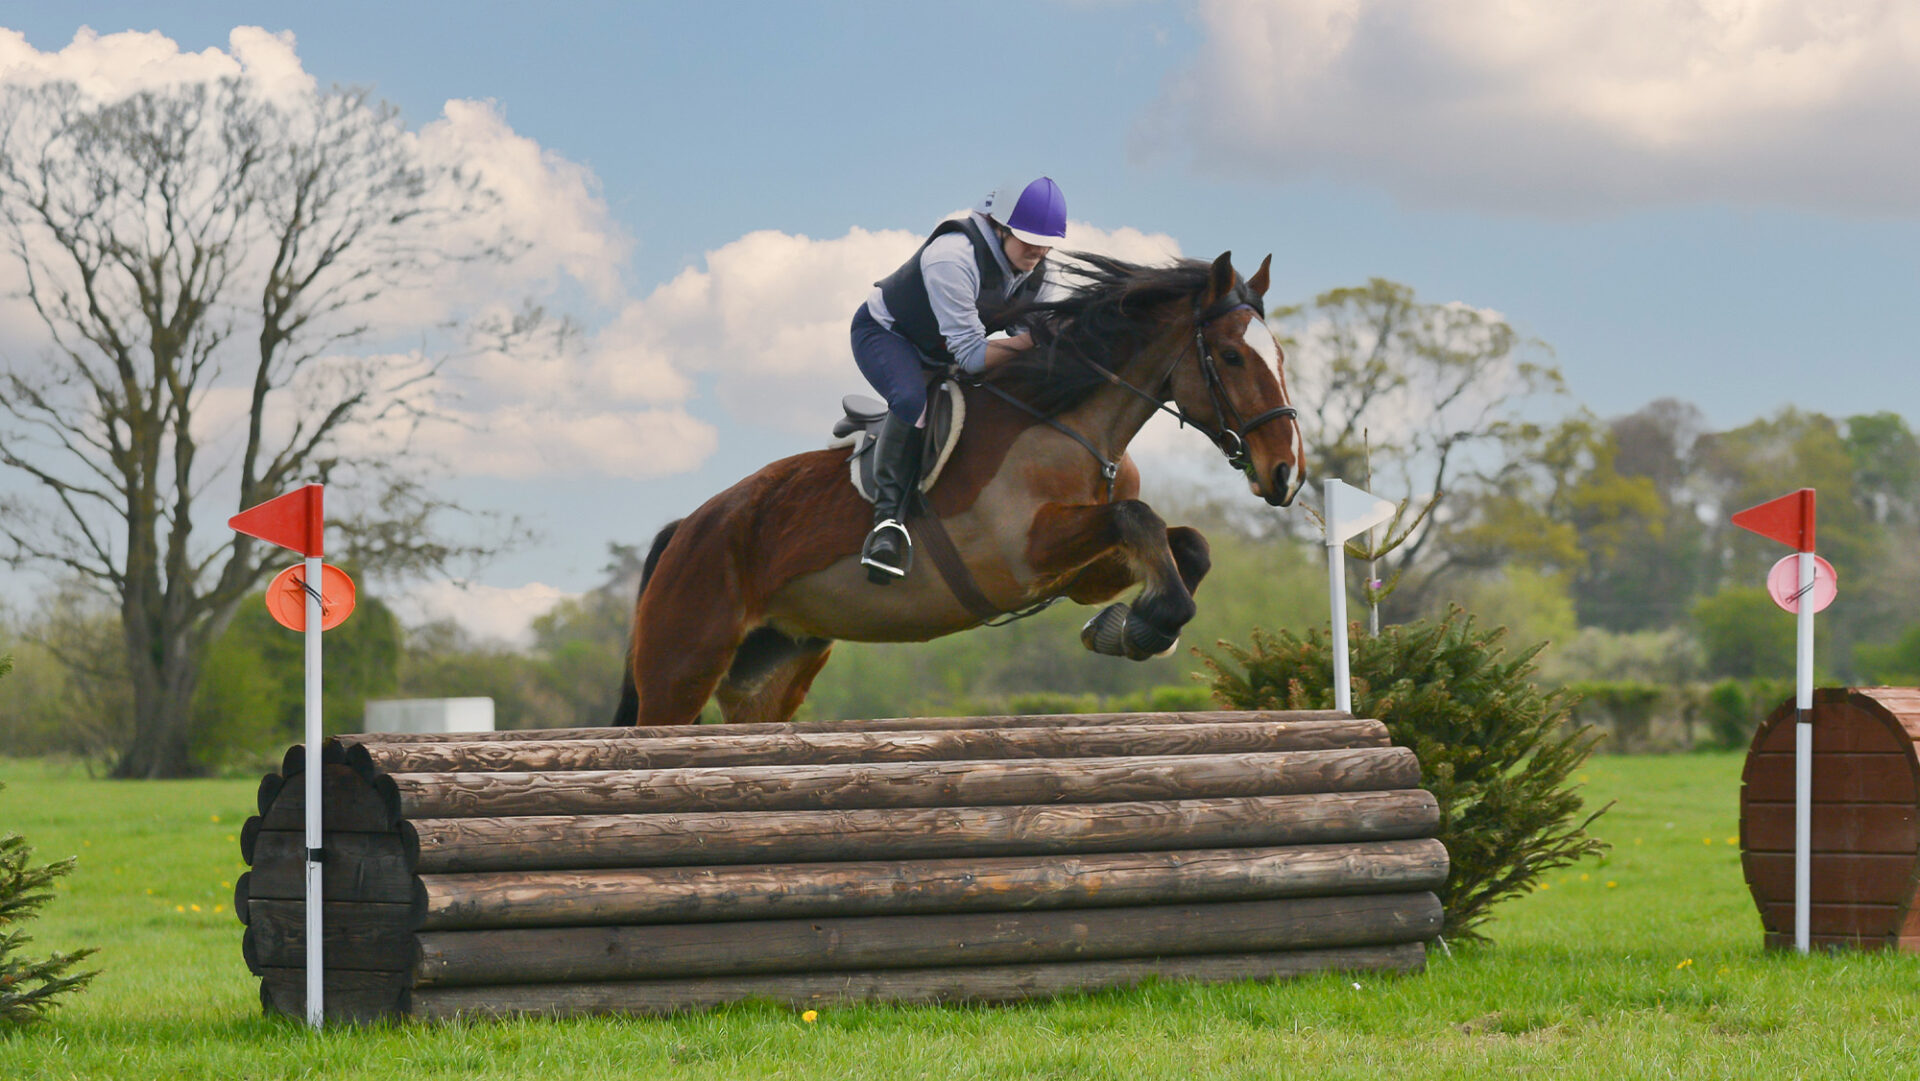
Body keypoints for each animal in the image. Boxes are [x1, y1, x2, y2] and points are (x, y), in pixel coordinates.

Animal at [614, 250, 1306, 727]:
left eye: (1278, 356)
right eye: (1231, 356)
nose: (1285, 472)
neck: (1074, 428)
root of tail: (687, 528)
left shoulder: (1079, 572)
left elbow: (1184, 542)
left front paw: (1130, 627)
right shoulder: (1023, 555)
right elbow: (1138, 516)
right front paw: (1145, 623)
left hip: (772, 668)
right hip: (680, 669)